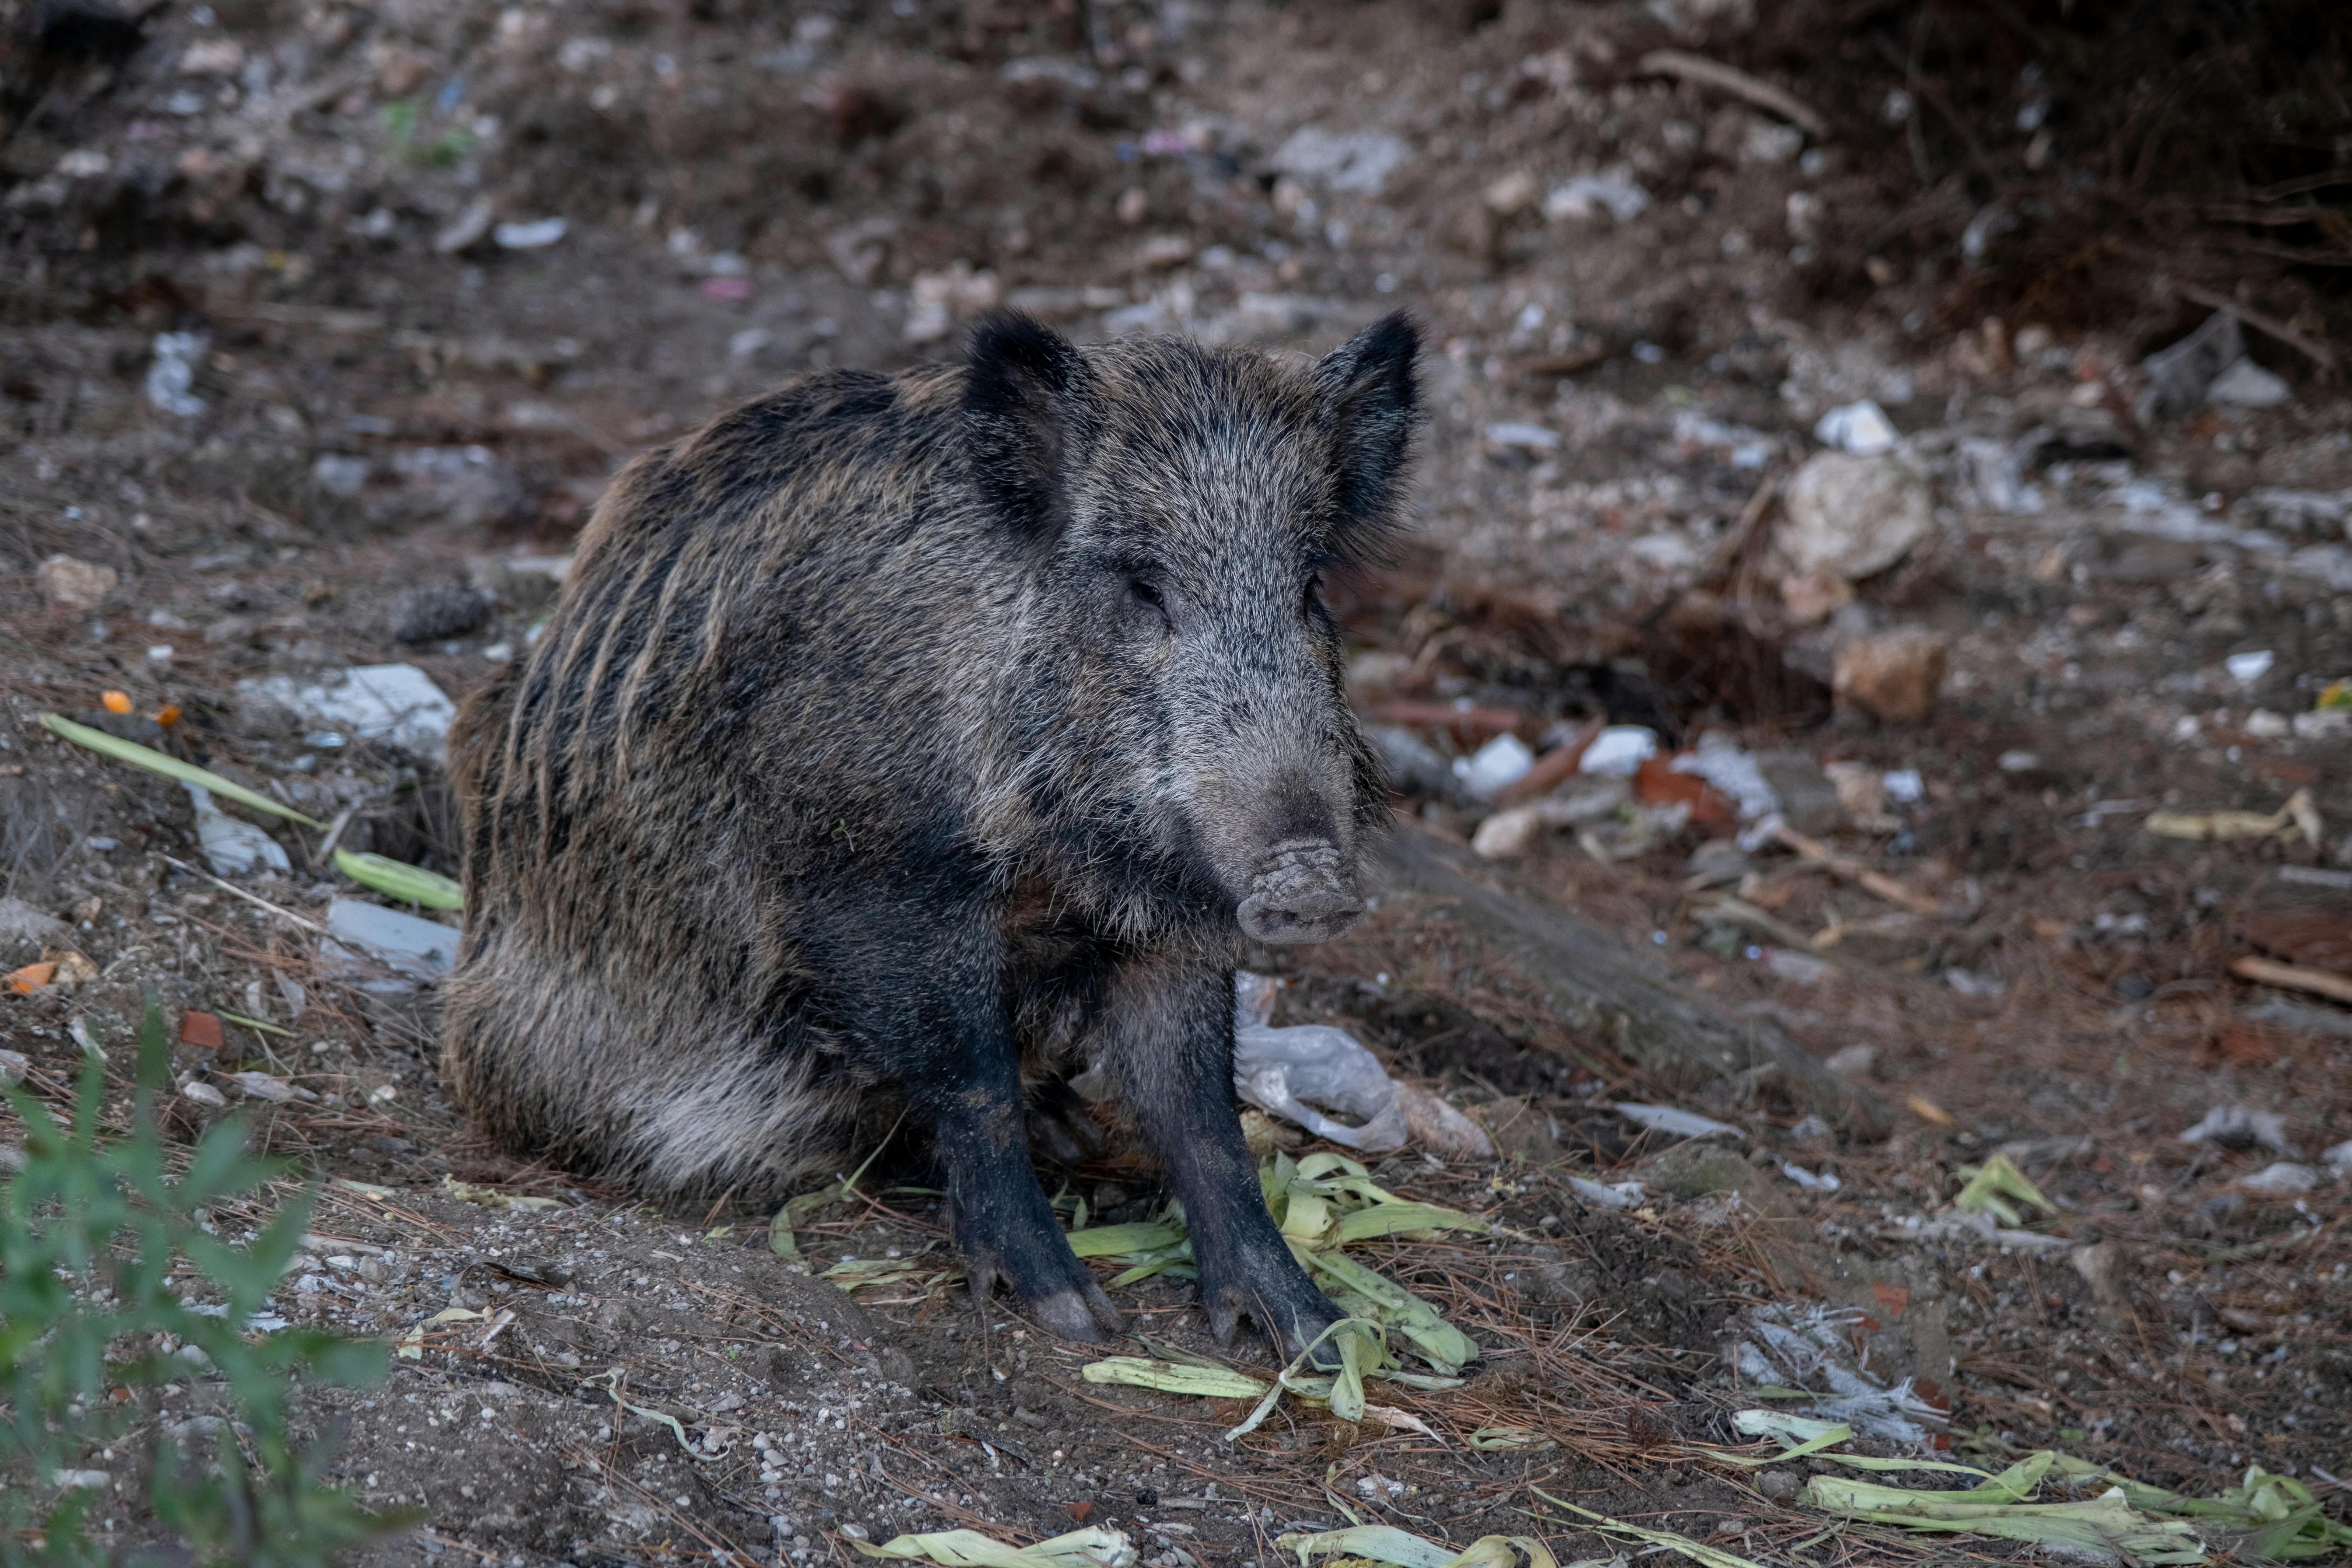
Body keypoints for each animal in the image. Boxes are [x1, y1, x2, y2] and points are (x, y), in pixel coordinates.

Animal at [442, 309, 1420, 1352]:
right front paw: (1075, 1318)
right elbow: (970, 1077)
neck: (1060, 860)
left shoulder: (1166, 921)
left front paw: (1316, 1336)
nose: (1310, 876)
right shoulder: (872, 885)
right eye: (1144, 586)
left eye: (1310, 590)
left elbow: (1200, 1110)